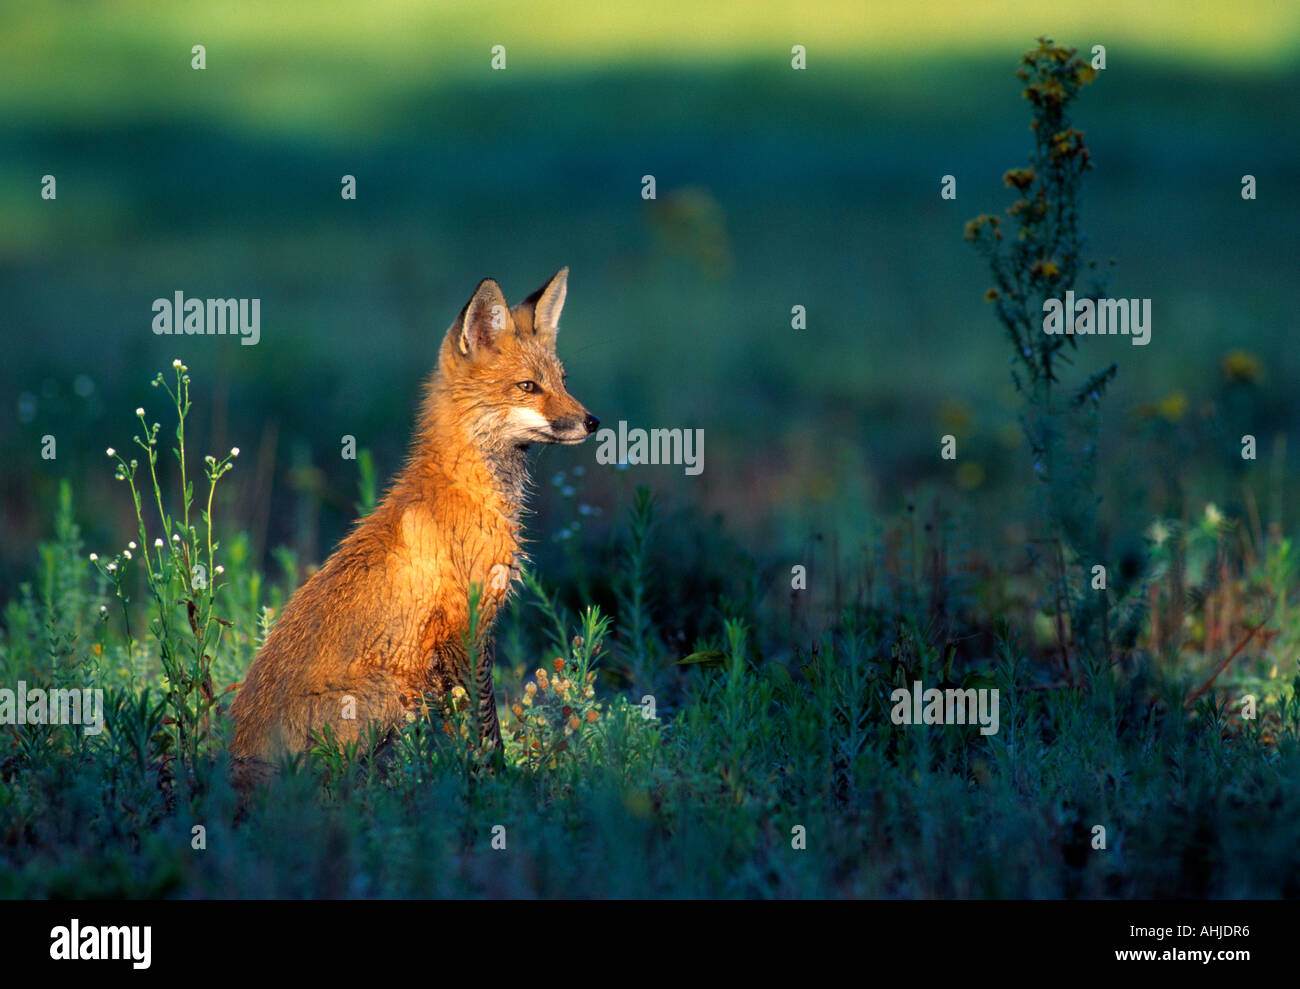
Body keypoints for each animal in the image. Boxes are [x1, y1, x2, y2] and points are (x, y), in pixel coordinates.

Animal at [229, 268, 598, 780]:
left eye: (563, 381)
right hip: (391, 692)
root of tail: (236, 753)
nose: (593, 421)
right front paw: (495, 779)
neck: (470, 488)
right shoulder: (465, 622)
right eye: (527, 387)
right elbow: (485, 721)